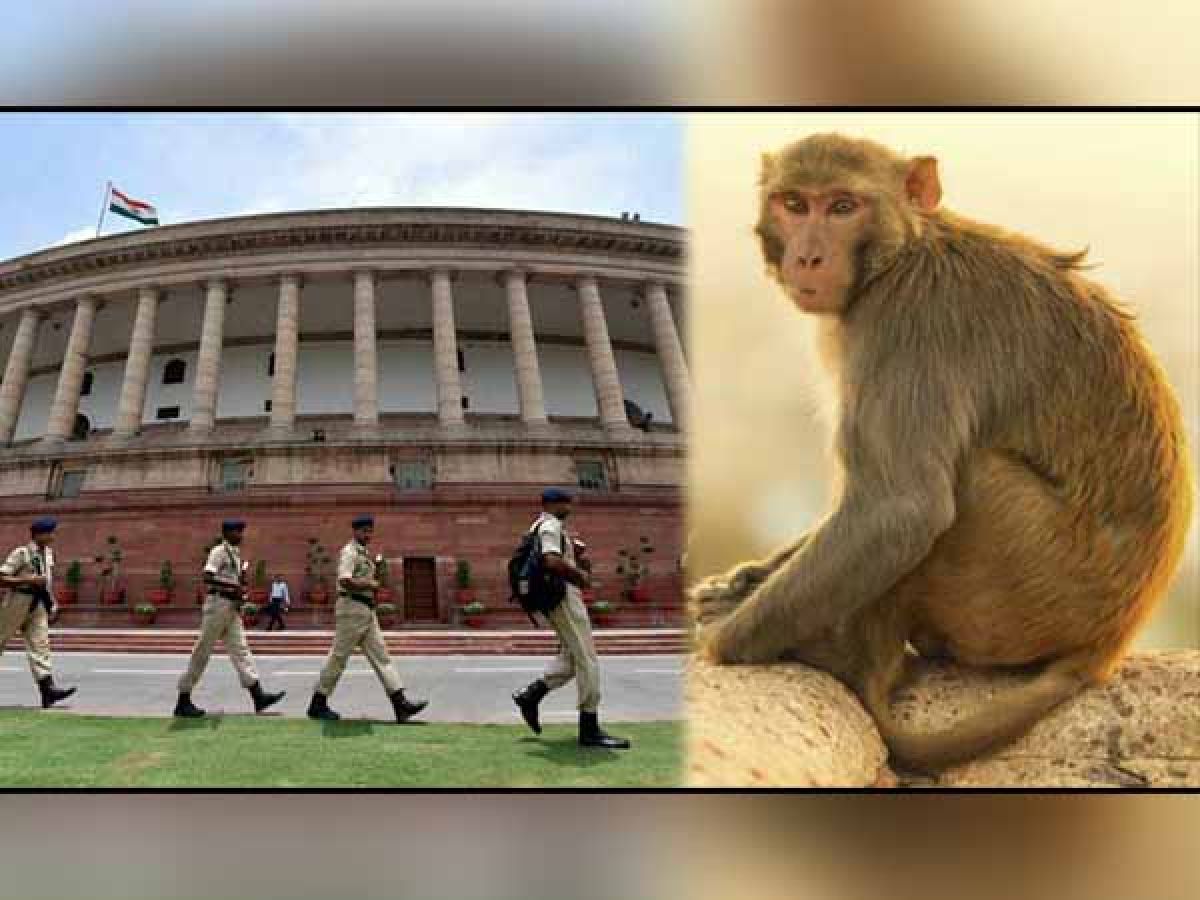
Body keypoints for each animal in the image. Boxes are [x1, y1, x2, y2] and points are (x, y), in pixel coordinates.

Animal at [690, 133, 1194, 774]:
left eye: (843, 207)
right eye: (795, 204)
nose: (807, 258)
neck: (899, 255)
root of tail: (1105, 647)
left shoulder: (906, 324)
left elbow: (899, 509)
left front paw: (721, 642)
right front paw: (747, 579)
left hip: (1027, 592)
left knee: (967, 481)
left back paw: (853, 659)